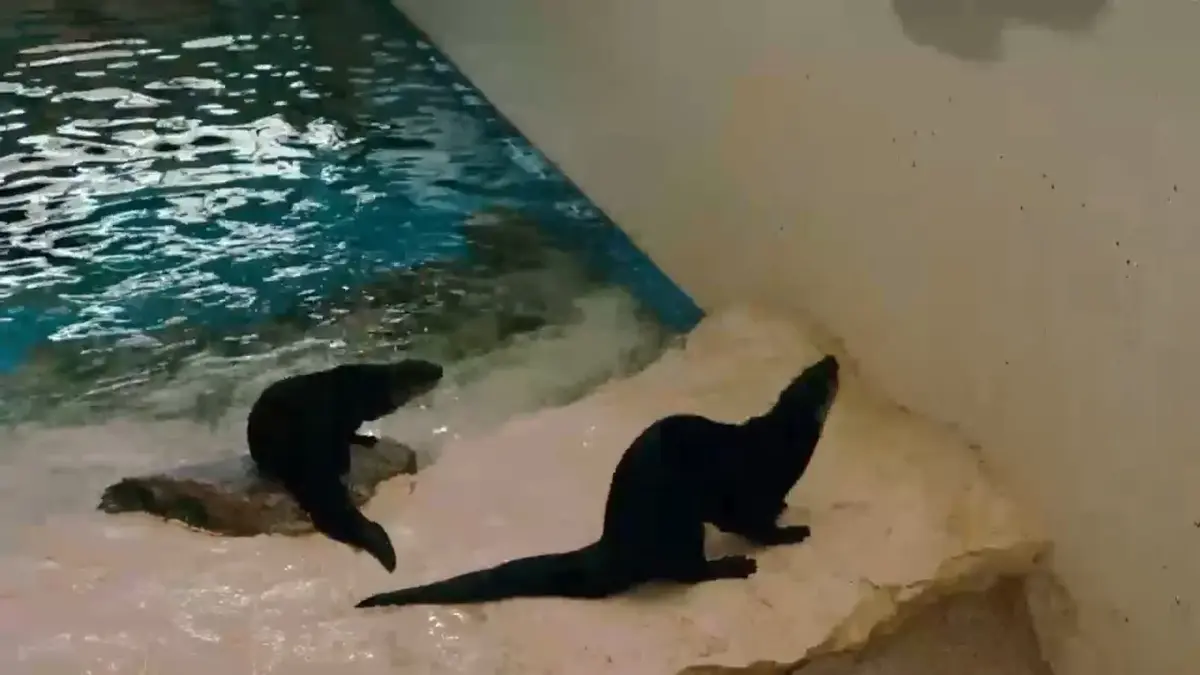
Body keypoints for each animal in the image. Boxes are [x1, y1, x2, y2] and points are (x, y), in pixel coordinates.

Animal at [356, 354, 839, 609]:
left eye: (811, 369)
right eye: (820, 379)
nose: (833, 360)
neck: (776, 447)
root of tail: (613, 545)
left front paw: (786, 513)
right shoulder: (745, 491)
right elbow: (752, 526)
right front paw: (790, 533)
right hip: (679, 523)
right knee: (686, 571)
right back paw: (733, 566)